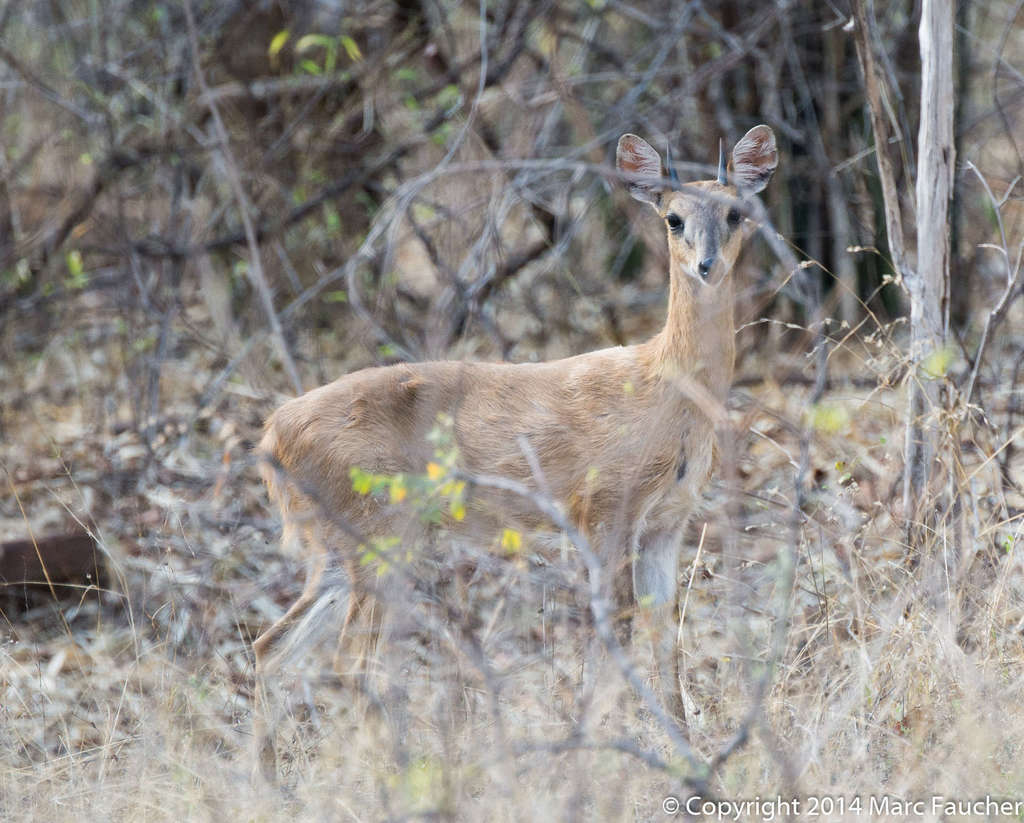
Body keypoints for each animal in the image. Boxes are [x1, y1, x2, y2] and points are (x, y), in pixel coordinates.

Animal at [254, 125, 777, 773]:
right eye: (673, 217)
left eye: (735, 212)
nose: (707, 264)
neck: (665, 387)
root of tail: (273, 435)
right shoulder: (605, 509)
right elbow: (612, 638)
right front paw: (594, 752)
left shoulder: (666, 523)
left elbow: (664, 642)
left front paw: (687, 752)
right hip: (379, 534)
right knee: (349, 658)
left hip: (339, 549)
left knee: (273, 647)